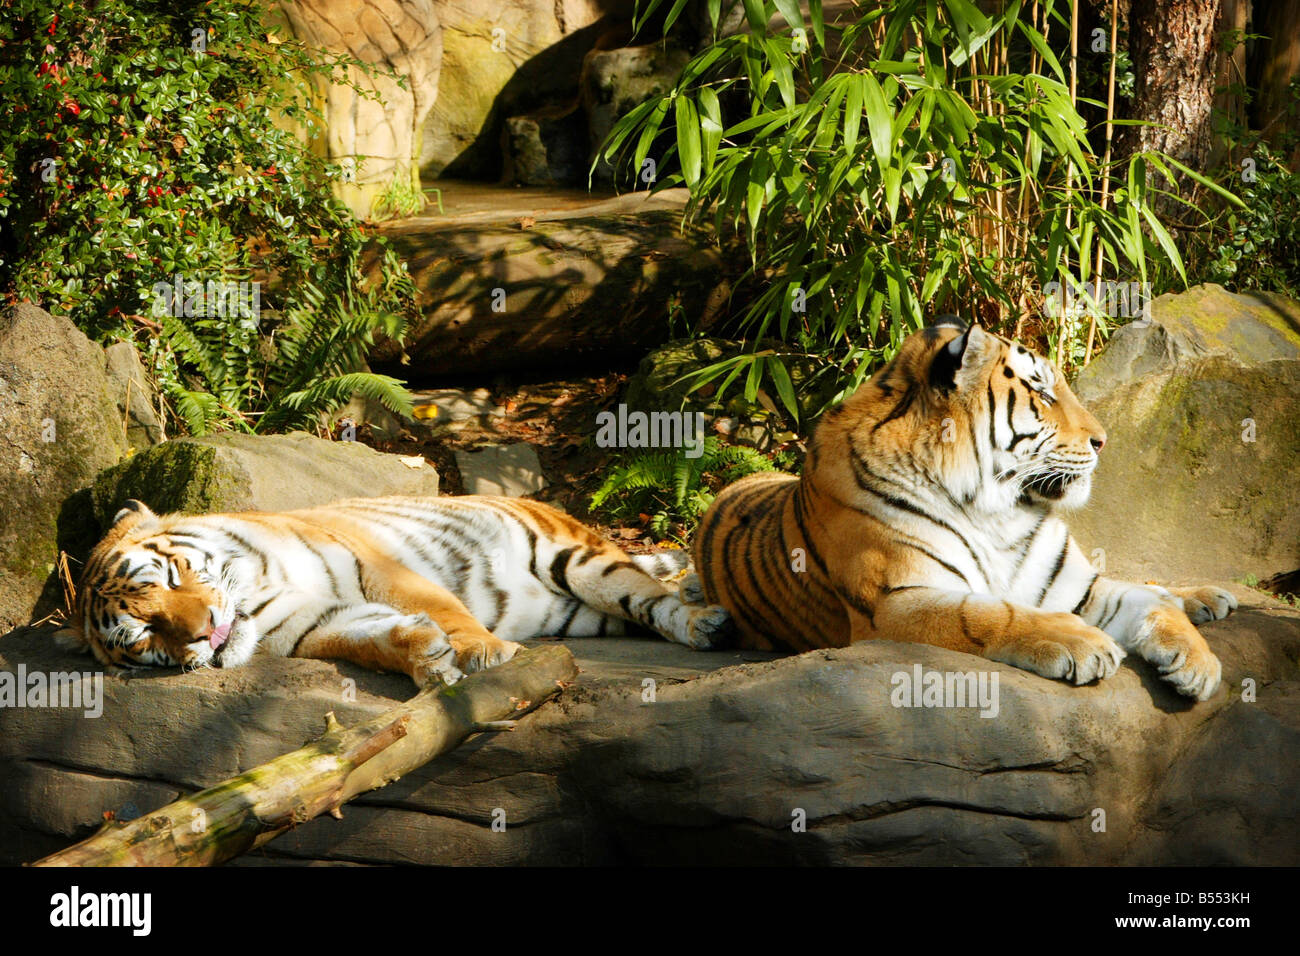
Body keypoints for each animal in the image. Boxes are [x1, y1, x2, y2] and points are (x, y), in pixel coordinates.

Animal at [57, 495, 734, 687]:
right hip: (583, 615)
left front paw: (481, 651)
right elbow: (369, 641)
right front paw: (426, 658)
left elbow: (440, 607)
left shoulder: (381, 567)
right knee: (641, 601)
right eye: (145, 635)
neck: (258, 592)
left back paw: (705, 619)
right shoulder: (317, 623)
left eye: (173, 576)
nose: (204, 634)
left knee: (648, 592)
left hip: (577, 560)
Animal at [692, 316, 1234, 700]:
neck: (997, 511)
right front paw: (1082, 642)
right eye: (1042, 391)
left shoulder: (1078, 587)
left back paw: (1208, 598)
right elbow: (989, 614)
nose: (1104, 440)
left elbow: (1150, 603)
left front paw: (1198, 663)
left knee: (1159, 590)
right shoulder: (893, 605)